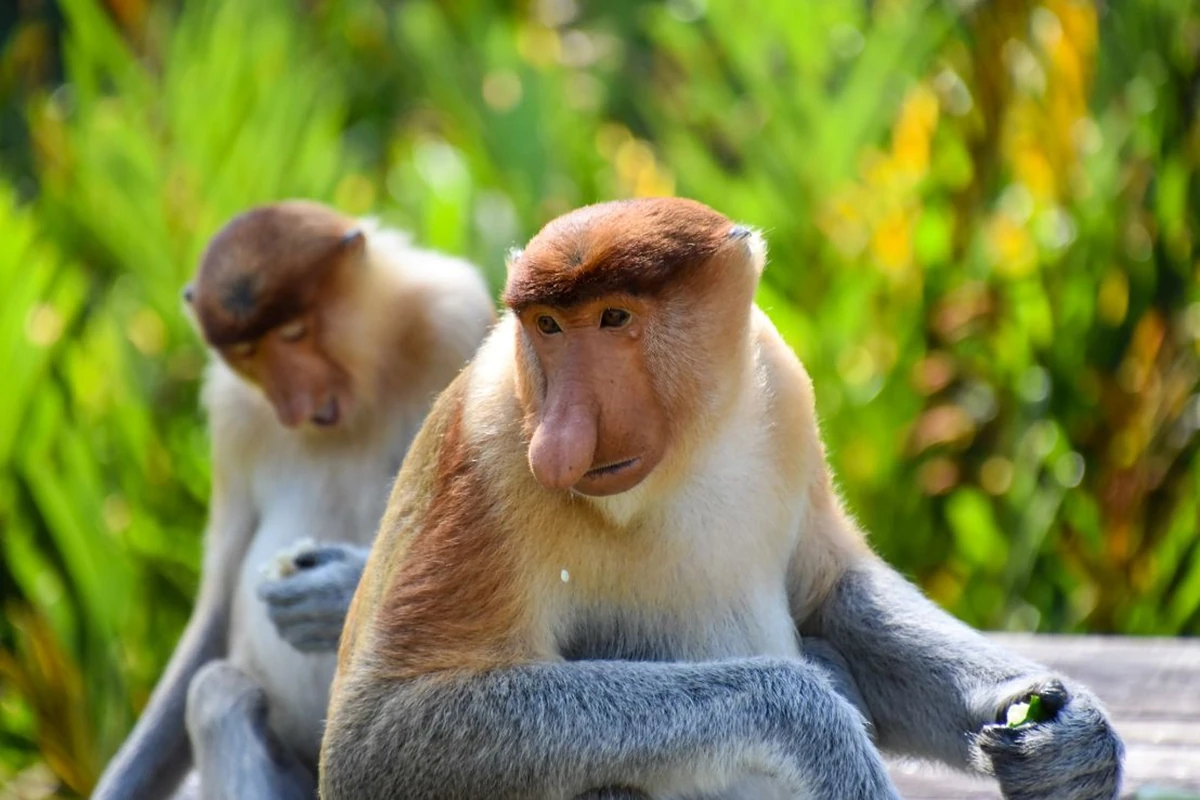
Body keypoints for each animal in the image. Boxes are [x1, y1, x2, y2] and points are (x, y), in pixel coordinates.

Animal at [90, 200, 496, 800]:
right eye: (247, 354)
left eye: (296, 332)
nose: (293, 405)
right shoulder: (231, 412)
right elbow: (216, 611)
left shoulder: (457, 318)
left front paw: (333, 590)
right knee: (217, 691)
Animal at [317, 197, 1124, 800]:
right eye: (547, 327)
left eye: (614, 317)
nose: (555, 445)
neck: (684, 462)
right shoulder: (489, 450)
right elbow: (377, 737)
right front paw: (817, 730)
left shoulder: (784, 385)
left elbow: (830, 591)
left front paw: (1061, 731)